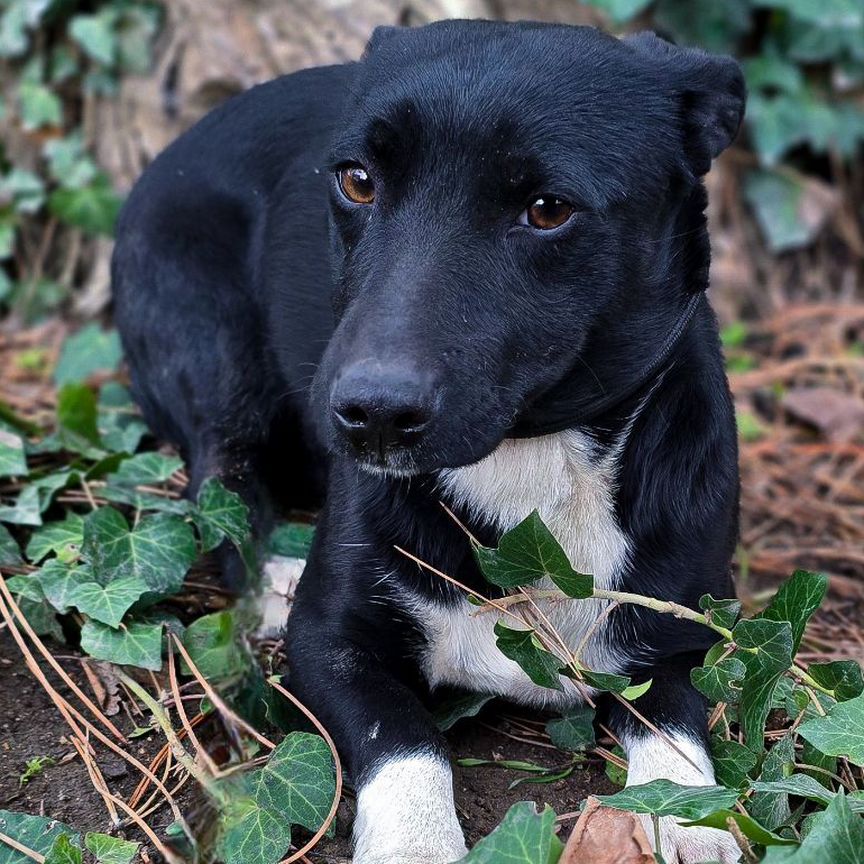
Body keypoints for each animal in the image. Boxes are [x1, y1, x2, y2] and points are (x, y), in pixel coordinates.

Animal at [111, 22, 744, 864]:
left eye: (548, 209)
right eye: (357, 182)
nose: (371, 412)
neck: (531, 465)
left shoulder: (686, 633)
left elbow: (674, 723)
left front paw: (687, 817)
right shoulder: (330, 641)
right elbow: (407, 741)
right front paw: (416, 842)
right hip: (212, 346)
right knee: (218, 478)